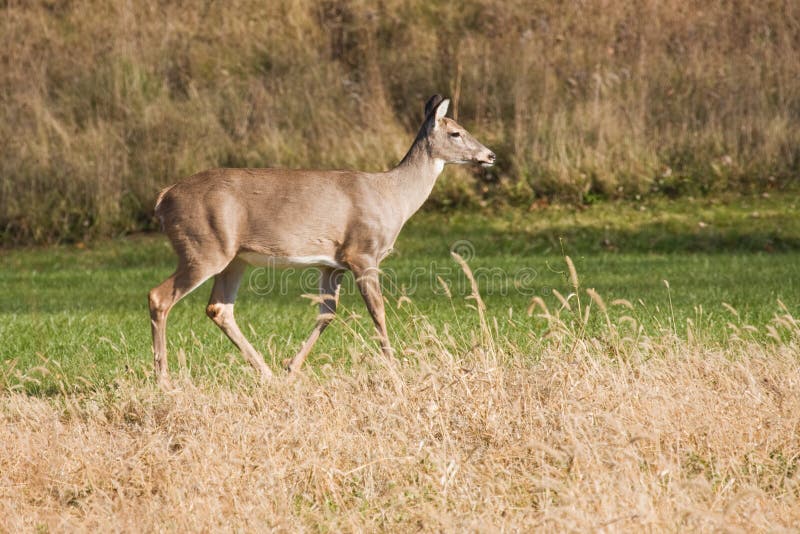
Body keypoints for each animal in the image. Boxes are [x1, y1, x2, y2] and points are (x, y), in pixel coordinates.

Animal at [148, 94, 495, 386]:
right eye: (456, 133)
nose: (490, 155)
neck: (393, 196)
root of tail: (163, 197)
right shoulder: (363, 252)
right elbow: (378, 310)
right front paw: (395, 369)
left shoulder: (333, 264)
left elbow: (327, 312)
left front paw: (291, 367)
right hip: (203, 248)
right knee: (158, 297)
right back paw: (164, 379)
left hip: (234, 258)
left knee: (218, 308)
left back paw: (267, 373)